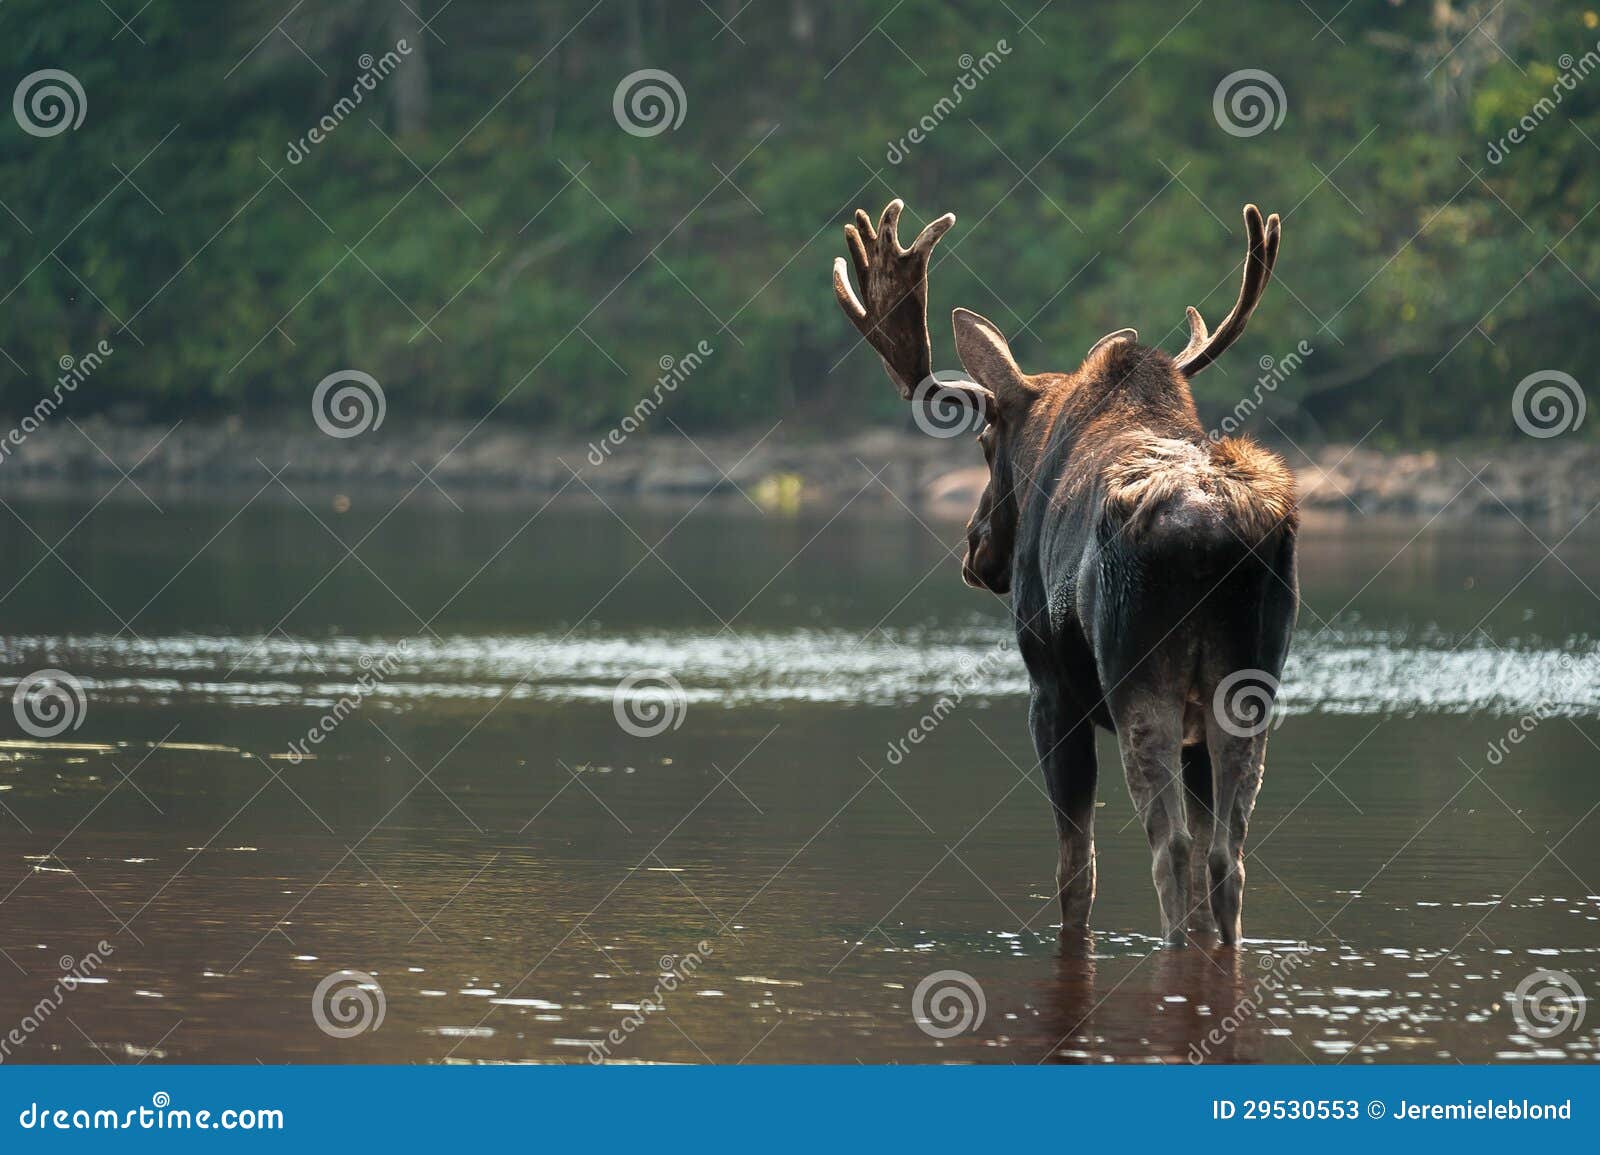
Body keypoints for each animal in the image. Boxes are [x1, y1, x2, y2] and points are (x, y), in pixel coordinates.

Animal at [833, 199, 1297, 947]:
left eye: (985, 441)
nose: (975, 549)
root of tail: (1211, 532)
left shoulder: (1050, 690)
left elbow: (1076, 871)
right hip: (1247, 683)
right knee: (1226, 857)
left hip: (1141, 675)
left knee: (1170, 849)